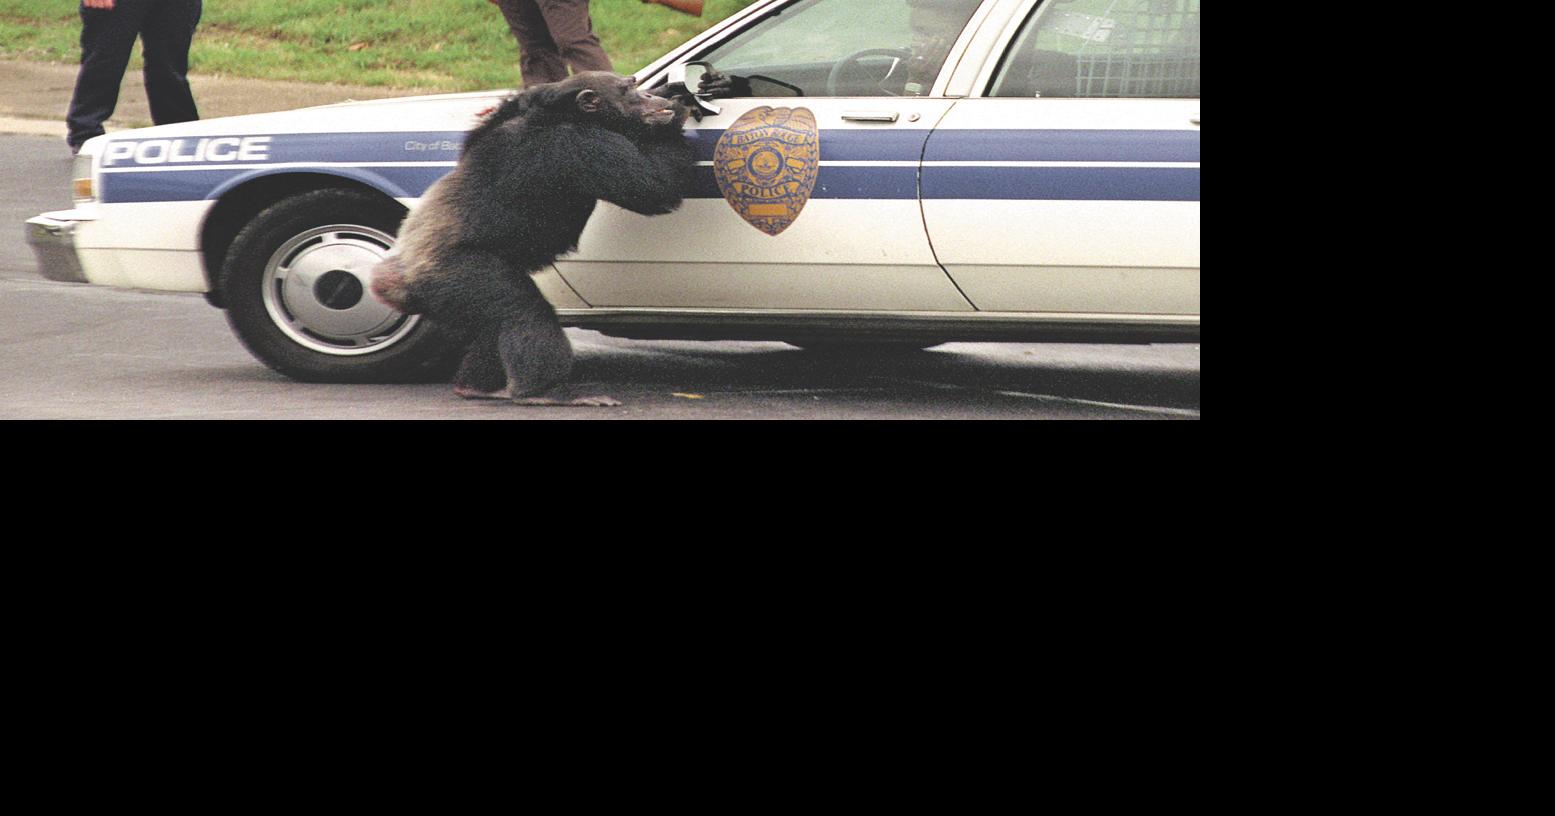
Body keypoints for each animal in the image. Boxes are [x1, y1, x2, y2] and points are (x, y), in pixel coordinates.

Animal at [370, 71, 696, 406]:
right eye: (628, 89)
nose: (649, 96)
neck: (565, 115)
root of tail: (392, 282)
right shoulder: (579, 144)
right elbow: (655, 187)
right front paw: (677, 108)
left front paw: (670, 89)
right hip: (455, 275)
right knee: (524, 314)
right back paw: (544, 393)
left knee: (493, 326)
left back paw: (477, 387)